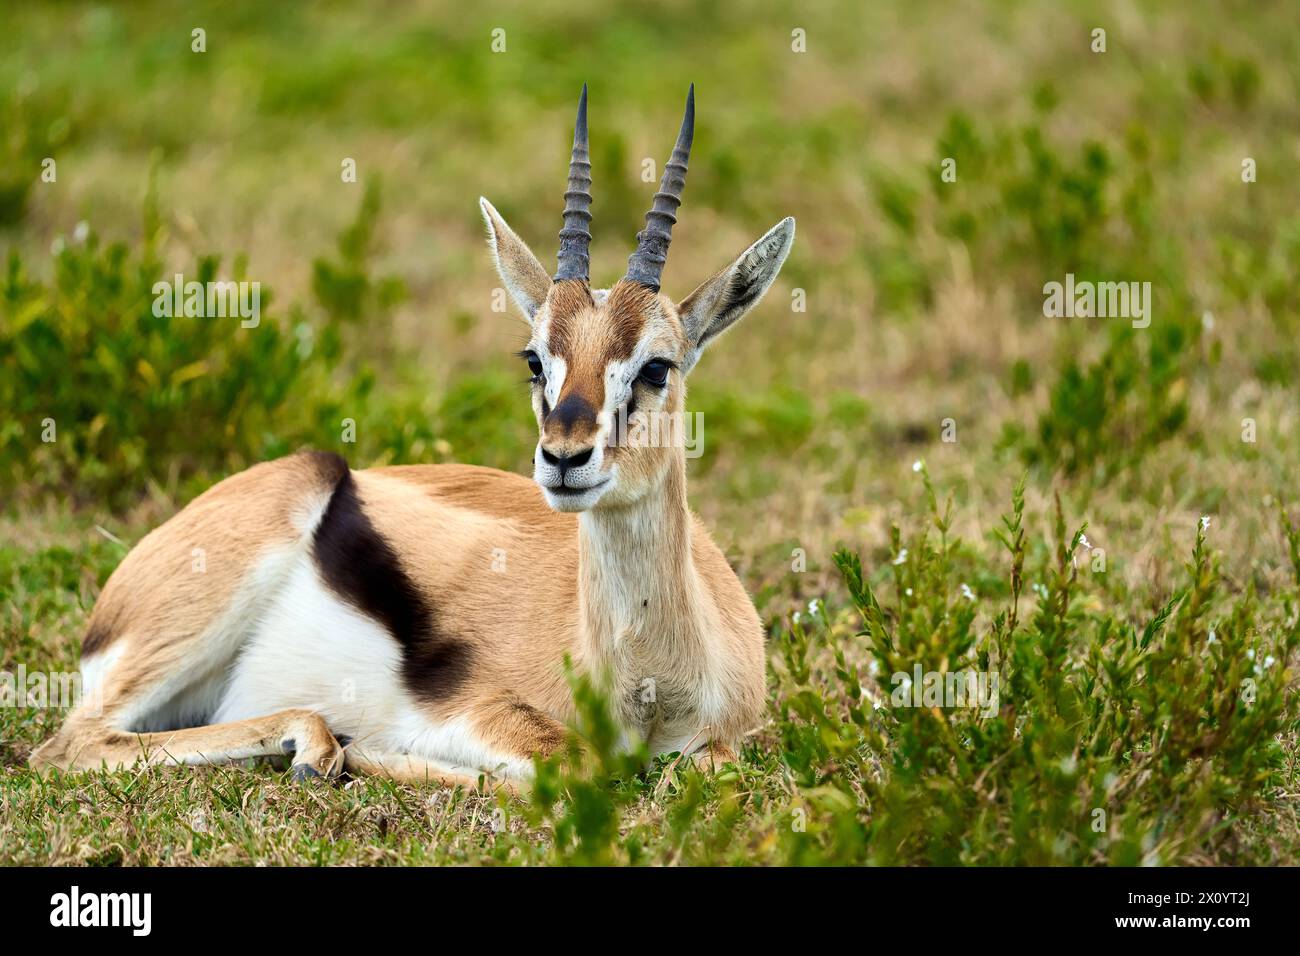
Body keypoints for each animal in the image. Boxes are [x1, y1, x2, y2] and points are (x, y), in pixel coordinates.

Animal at [31, 85, 796, 788]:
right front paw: (375, 752)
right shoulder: (474, 712)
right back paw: (317, 747)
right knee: (66, 747)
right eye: (535, 360)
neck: (650, 686)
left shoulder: (720, 744)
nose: (563, 459)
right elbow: (575, 764)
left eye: (657, 366)